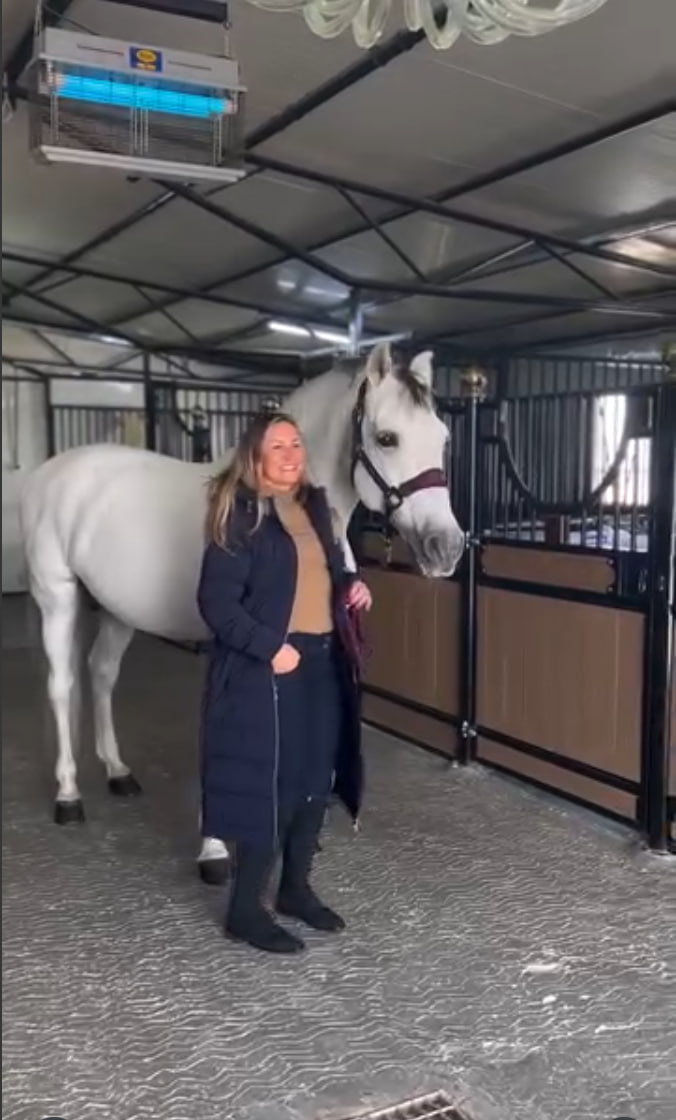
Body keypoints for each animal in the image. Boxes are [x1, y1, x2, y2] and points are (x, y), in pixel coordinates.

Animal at [19, 342, 465, 884]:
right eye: (386, 438)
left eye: (443, 439)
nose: (447, 548)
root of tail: (52, 472)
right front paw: (213, 849)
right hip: (57, 596)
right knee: (62, 686)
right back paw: (68, 795)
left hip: (116, 608)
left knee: (101, 674)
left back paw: (118, 772)